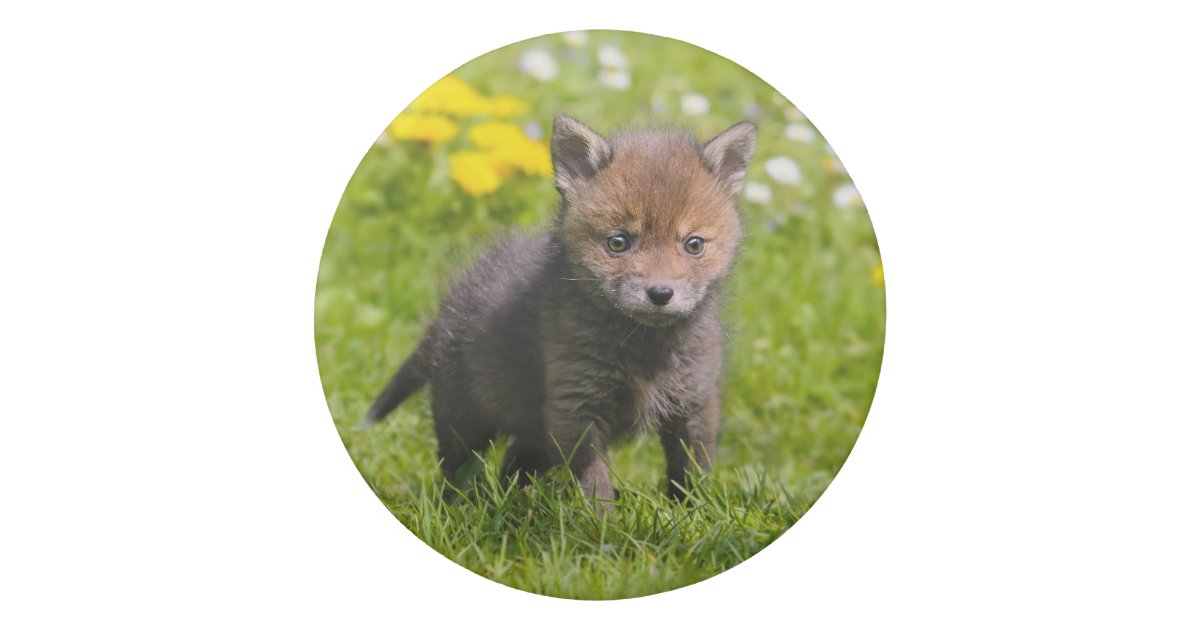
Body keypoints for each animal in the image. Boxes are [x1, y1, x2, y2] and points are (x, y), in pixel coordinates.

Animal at [359, 115, 757, 503]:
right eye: (618, 243)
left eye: (694, 244)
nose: (660, 293)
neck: (644, 349)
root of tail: (446, 310)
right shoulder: (575, 405)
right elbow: (595, 482)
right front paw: (602, 522)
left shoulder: (694, 402)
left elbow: (691, 471)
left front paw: (694, 514)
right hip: (465, 417)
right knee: (458, 469)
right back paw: (464, 506)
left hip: (534, 436)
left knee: (512, 465)